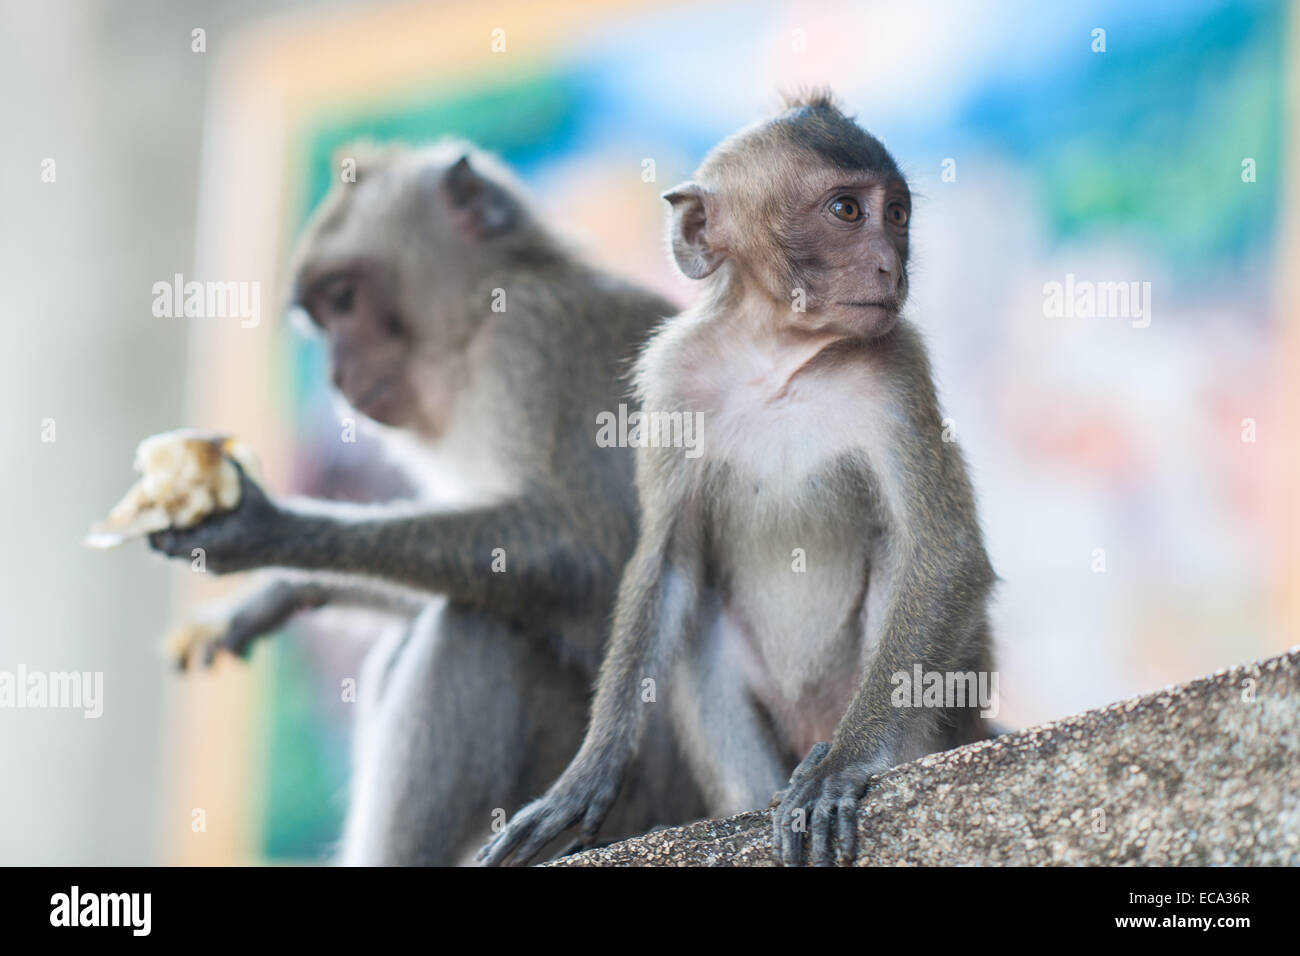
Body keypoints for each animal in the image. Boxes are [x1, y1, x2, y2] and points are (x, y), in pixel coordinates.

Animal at [149, 141, 707, 864]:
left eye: (343, 297)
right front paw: (274, 594)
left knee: (481, 632)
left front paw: (266, 530)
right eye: (323, 316)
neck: (475, 325)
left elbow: (581, 554)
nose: (336, 374)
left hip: (650, 797)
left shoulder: (531, 347)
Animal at [479, 92, 997, 868]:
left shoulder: (898, 367)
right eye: (848, 210)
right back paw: (748, 806)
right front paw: (583, 780)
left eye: (898, 215)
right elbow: (668, 564)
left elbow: (942, 554)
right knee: (701, 625)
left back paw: (849, 763)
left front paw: (847, 766)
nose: (889, 267)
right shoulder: (672, 381)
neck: (777, 355)